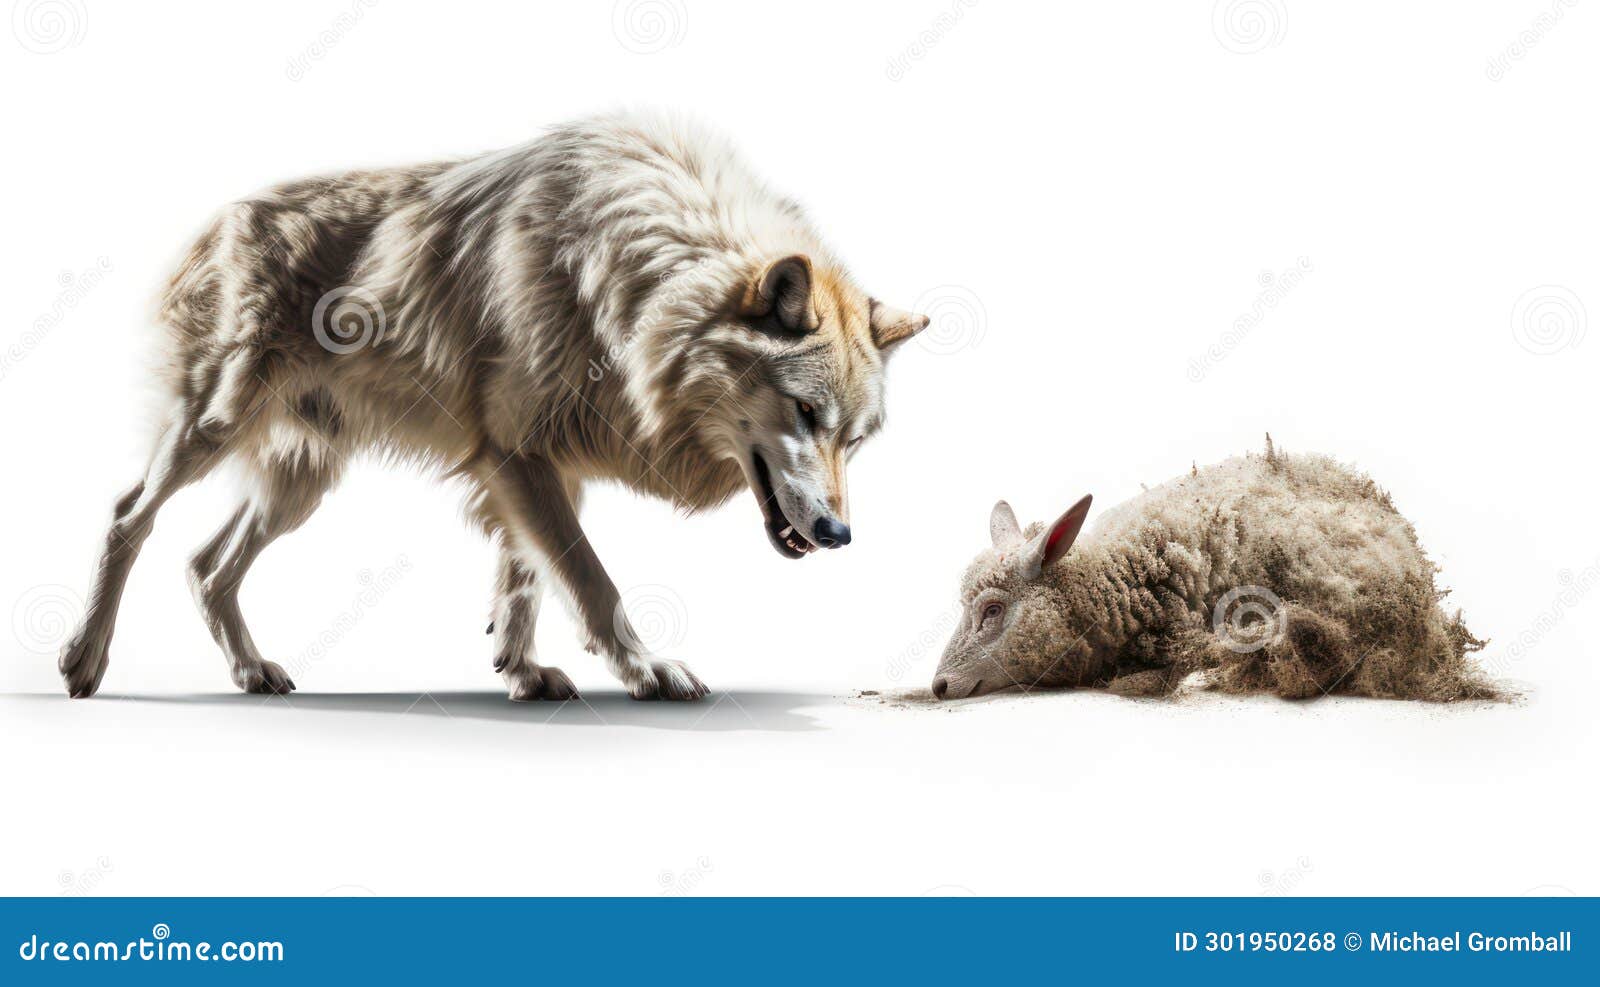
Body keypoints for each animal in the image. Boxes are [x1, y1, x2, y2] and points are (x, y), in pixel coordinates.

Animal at [58, 110, 929, 702]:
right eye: (805, 413)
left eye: (856, 439)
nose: (840, 533)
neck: (633, 287)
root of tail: (217, 219)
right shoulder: (517, 453)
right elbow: (590, 580)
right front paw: (647, 668)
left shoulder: (543, 464)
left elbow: (527, 577)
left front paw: (524, 669)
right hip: (212, 430)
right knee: (128, 514)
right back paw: (84, 659)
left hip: (299, 485)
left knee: (206, 566)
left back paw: (251, 668)